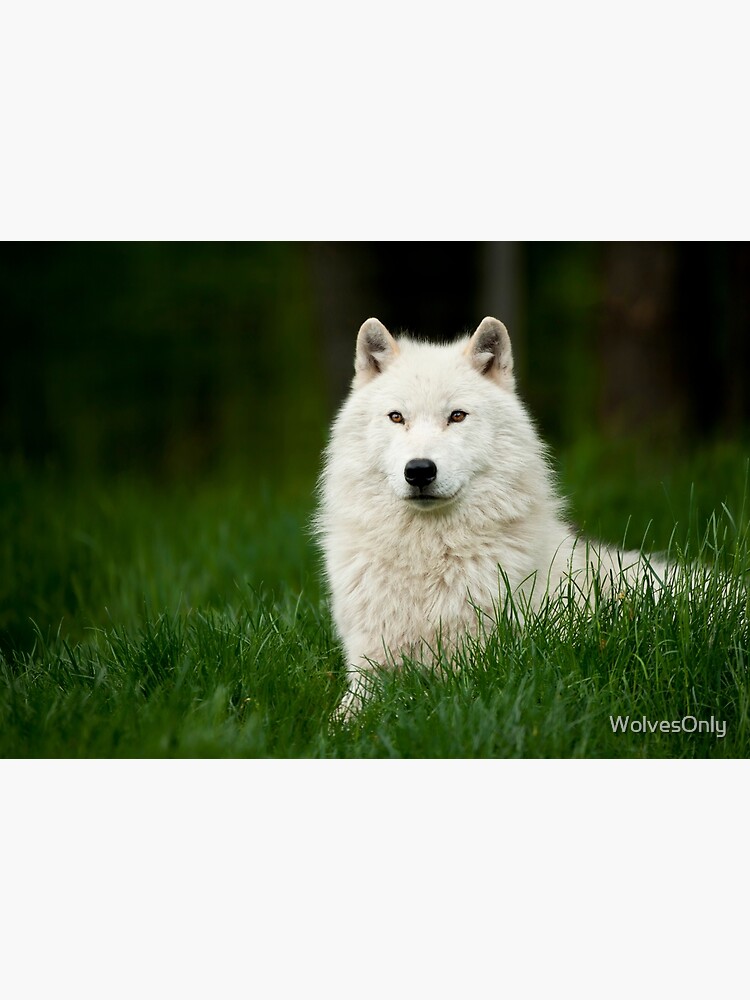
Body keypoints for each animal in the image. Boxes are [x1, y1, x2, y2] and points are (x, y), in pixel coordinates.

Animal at [316, 317, 666, 714]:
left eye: (457, 416)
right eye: (396, 417)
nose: (419, 470)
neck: (428, 560)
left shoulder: (481, 666)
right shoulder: (369, 669)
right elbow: (344, 716)